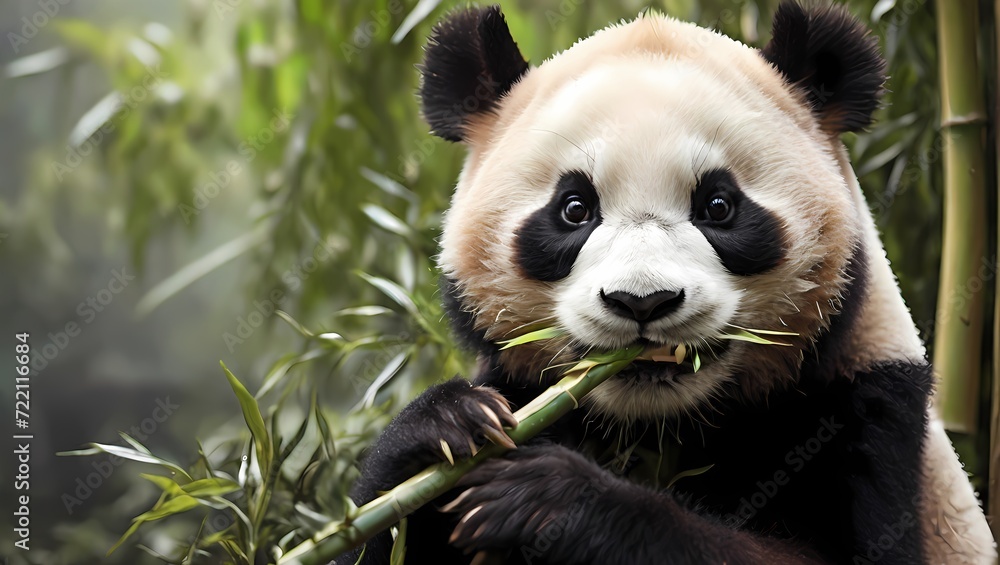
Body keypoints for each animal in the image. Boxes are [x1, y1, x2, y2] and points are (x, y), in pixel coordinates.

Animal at [341, 2, 996, 564]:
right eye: (574, 209)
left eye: (719, 207)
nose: (642, 302)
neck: (660, 423)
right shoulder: (519, 390)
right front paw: (447, 425)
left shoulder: (865, 410)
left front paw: (549, 500)